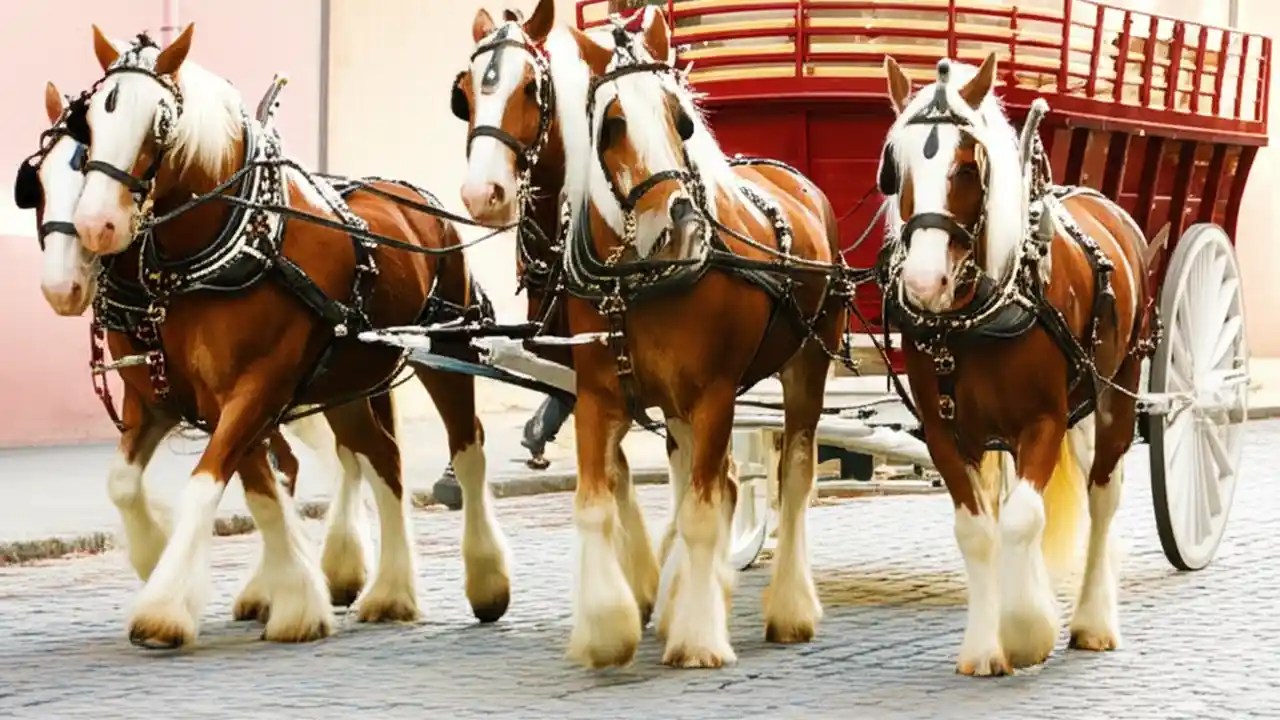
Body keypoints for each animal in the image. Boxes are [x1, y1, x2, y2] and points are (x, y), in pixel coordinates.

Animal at [66, 26, 511, 648]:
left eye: (159, 123)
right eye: (87, 123)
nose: (95, 224)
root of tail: (421, 200)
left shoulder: (256, 386)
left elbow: (214, 482)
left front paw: (167, 606)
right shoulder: (166, 397)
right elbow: (140, 483)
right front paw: (174, 562)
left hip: (447, 349)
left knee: (467, 449)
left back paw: (485, 580)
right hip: (346, 380)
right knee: (383, 457)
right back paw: (390, 591)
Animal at [547, 14, 847, 668]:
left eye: (681, 120)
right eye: (611, 125)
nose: (679, 220)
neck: (639, 283)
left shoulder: (715, 395)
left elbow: (705, 513)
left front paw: (699, 636)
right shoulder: (597, 398)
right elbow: (594, 504)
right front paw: (606, 626)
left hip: (807, 364)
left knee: (793, 475)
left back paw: (789, 608)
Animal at [876, 54, 1153, 675]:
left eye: (967, 168)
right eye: (895, 170)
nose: (924, 283)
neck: (974, 318)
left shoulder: (1042, 421)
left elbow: (1025, 518)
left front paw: (1026, 630)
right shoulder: (946, 433)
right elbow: (980, 529)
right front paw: (986, 644)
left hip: (1116, 392)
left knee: (1103, 494)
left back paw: (1094, 620)